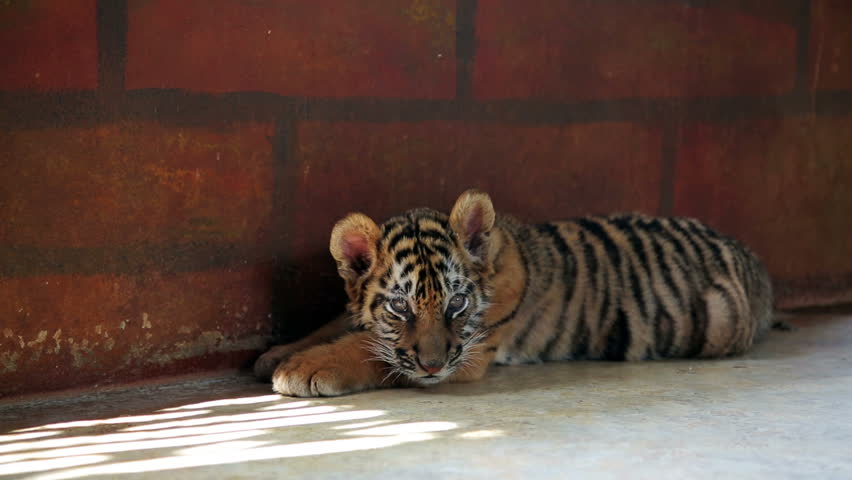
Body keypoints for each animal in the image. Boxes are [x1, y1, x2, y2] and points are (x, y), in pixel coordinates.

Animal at [254, 189, 774, 397]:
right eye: (400, 306)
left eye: (457, 304)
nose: (433, 366)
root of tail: (755, 259)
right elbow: (343, 324)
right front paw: (278, 353)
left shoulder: (468, 355)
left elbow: (369, 350)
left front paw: (302, 369)